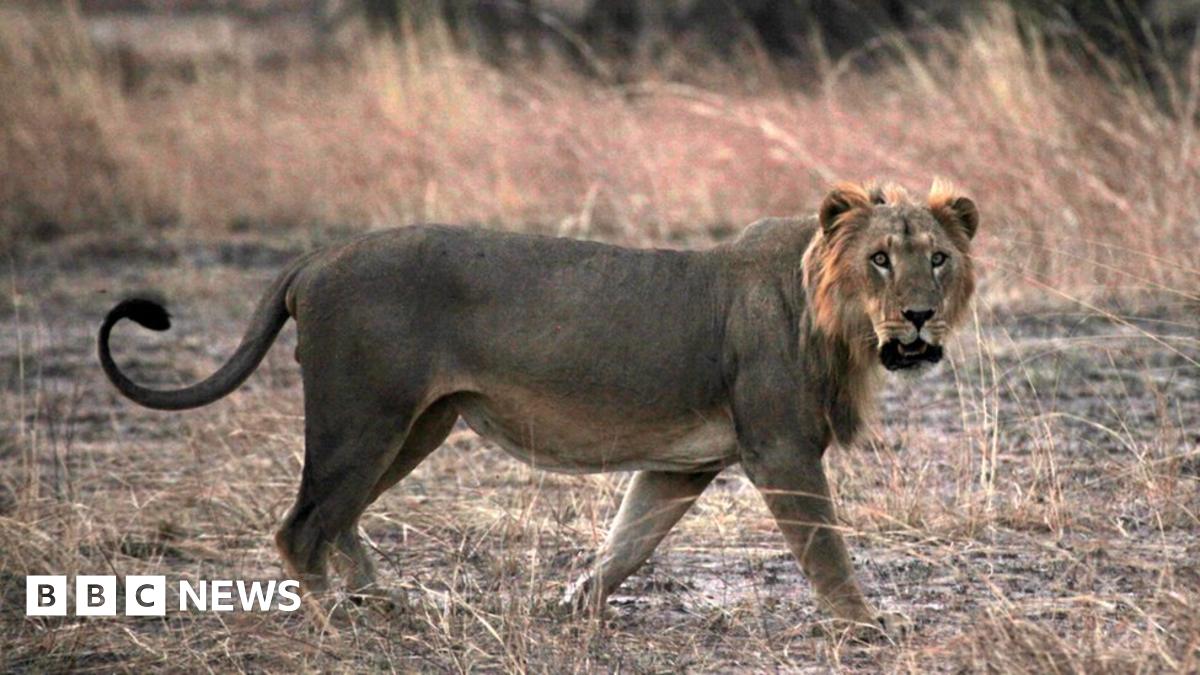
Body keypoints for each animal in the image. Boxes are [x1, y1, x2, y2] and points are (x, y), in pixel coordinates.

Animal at [98, 179, 978, 636]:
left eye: (937, 258)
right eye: (879, 259)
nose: (919, 317)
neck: (837, 324)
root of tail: (317, 255)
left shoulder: (681, 465)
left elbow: (628, 543)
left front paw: (572, 604)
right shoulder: (781, 449)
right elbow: (826, 547)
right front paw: (866, 625)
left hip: (417, 423)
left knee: (337, 517)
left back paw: (384, 598)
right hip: (364, 416)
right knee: (301, 525)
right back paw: (333, 618)